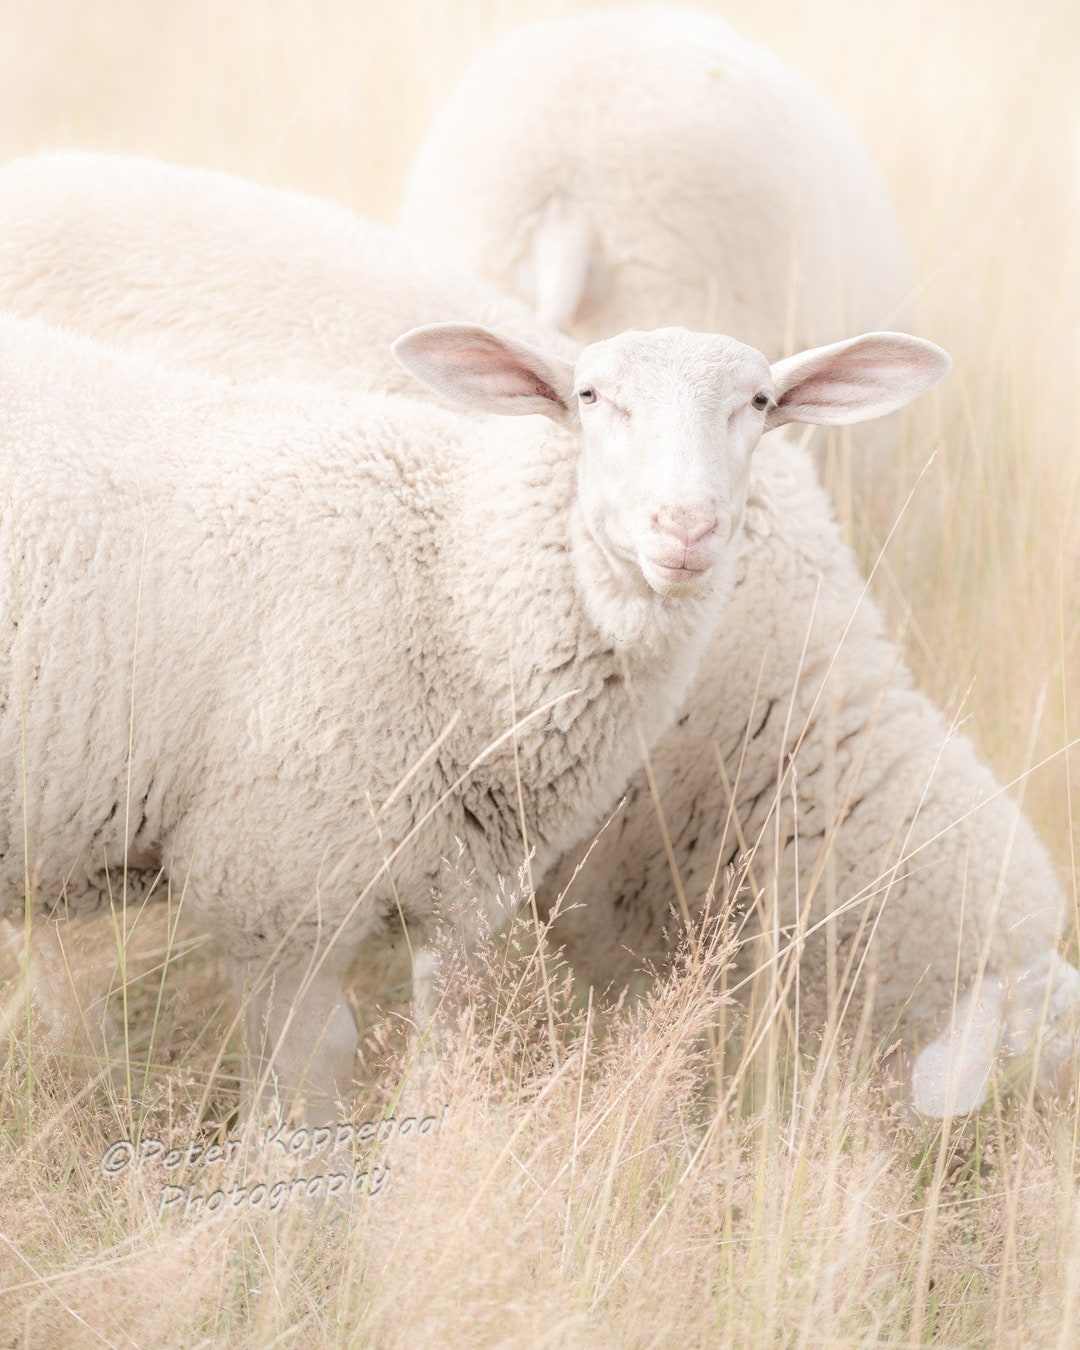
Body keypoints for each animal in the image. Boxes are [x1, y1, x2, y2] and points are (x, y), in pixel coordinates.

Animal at [1, 308, 945, 1111]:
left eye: (758, 403)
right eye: (590, 397)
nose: (684, 529)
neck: (456, 575)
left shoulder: (461, 893)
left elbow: (444, 1050)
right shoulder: (279, 884)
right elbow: (311, 1072)